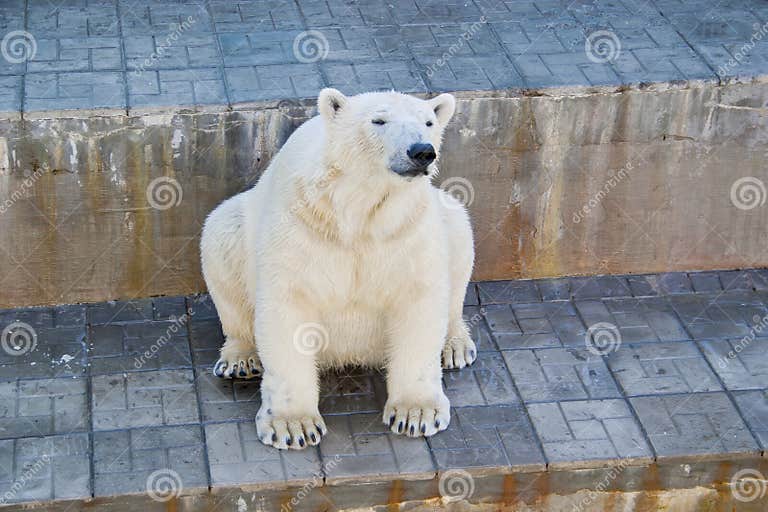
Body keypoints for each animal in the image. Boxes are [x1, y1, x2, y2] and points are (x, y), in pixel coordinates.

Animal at [200, 88, 476, 450]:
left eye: (429, 122)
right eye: (378, 120)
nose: (421, 151)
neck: (358, 213)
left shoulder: (407, 229)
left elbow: (419, 299)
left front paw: (417, 413)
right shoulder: (302, 225)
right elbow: (288, 306)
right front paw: (293, 426)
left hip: (445, 216)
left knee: (459, 235)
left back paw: (454, 345)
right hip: (236, 228)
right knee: (220, 237)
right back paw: (241, 359)